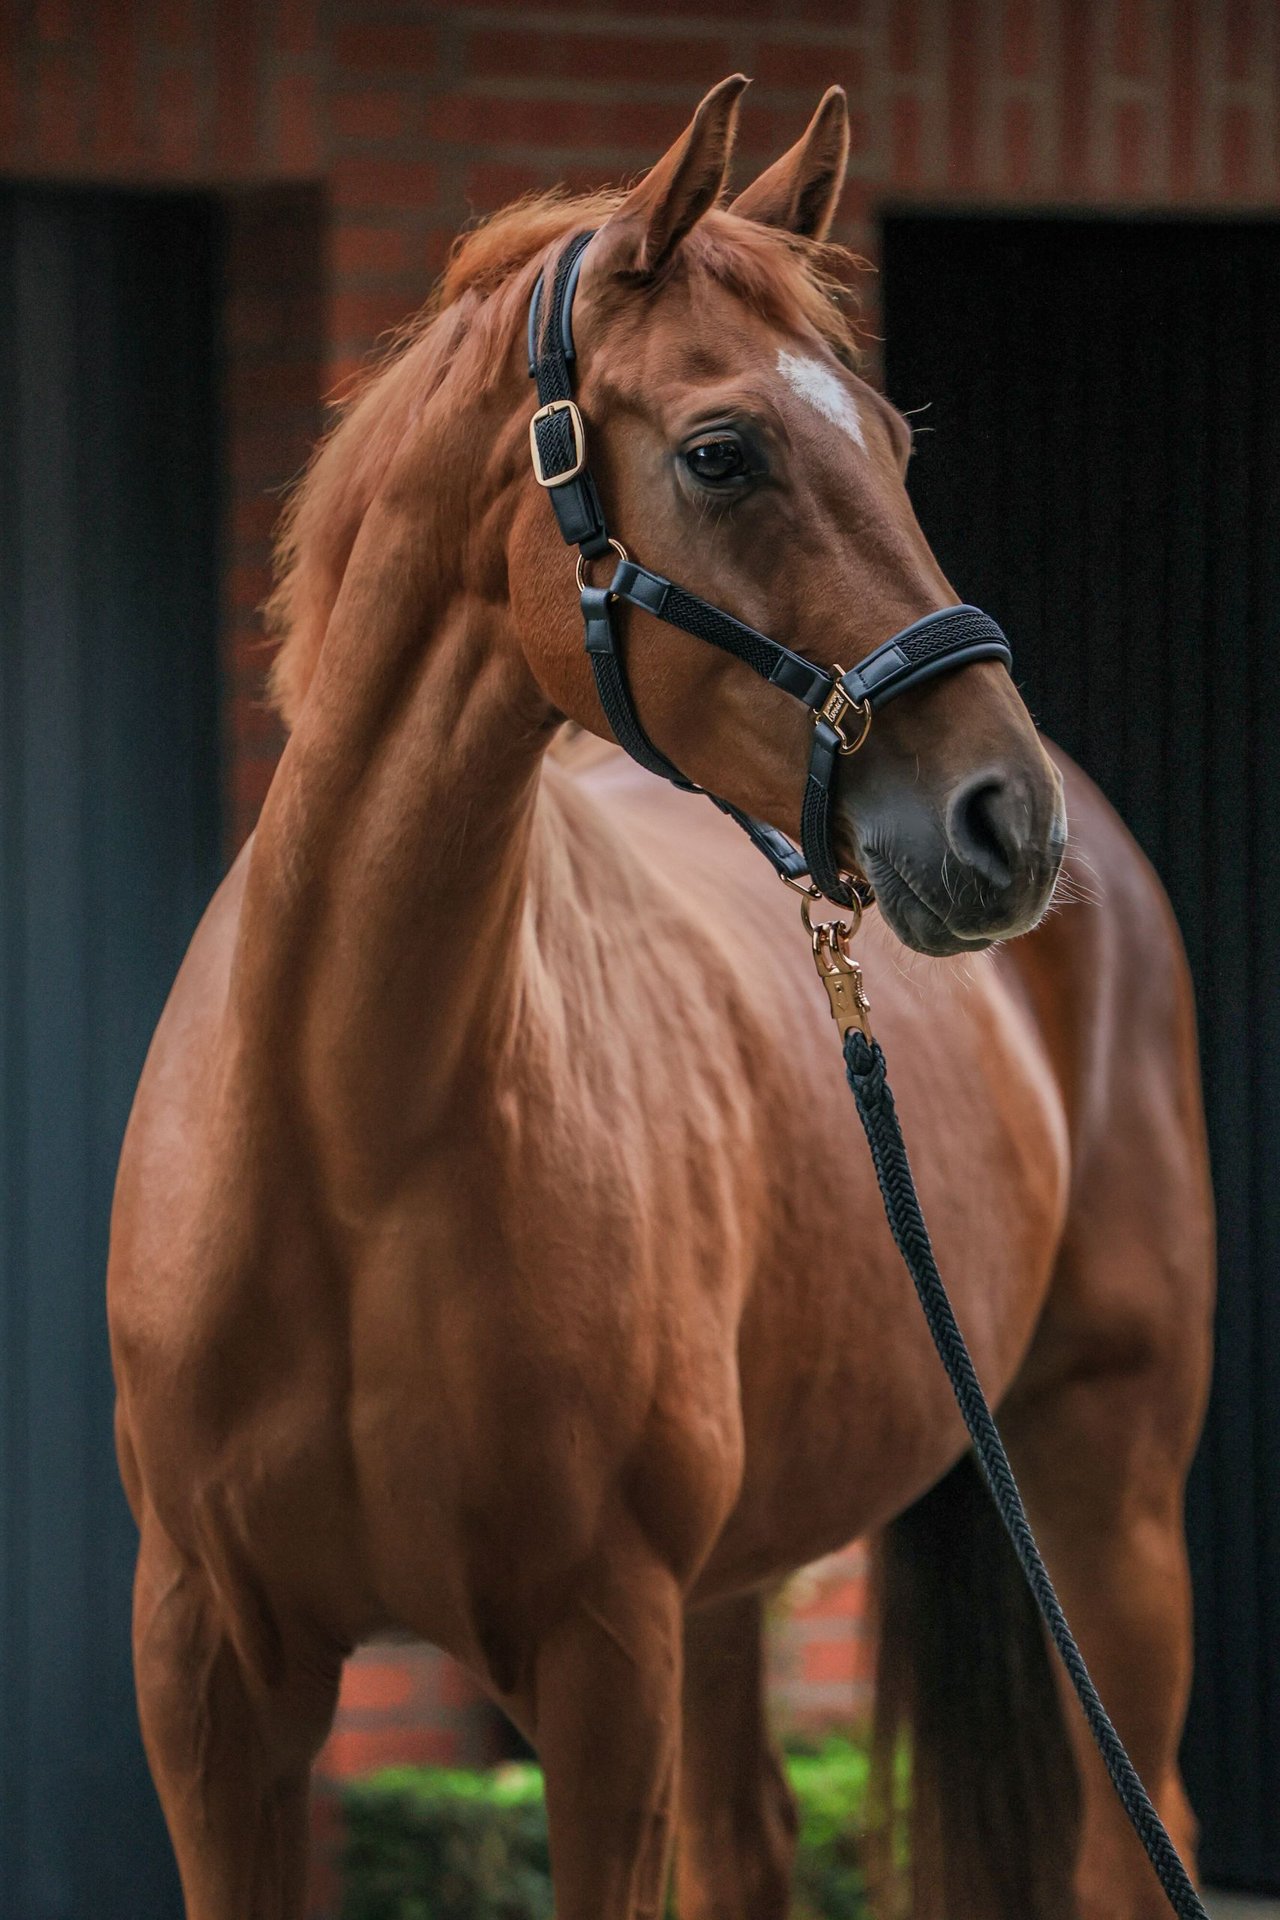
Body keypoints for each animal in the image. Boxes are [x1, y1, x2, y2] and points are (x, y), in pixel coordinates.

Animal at [108, 78, 1215, 1920]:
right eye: (722, 452)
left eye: (895, 446)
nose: (1005, 823)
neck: (350, 1144)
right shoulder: (209, 1673)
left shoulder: (600, 1657)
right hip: (738, 1589)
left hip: (1103, 1490)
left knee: (1147, 1836)